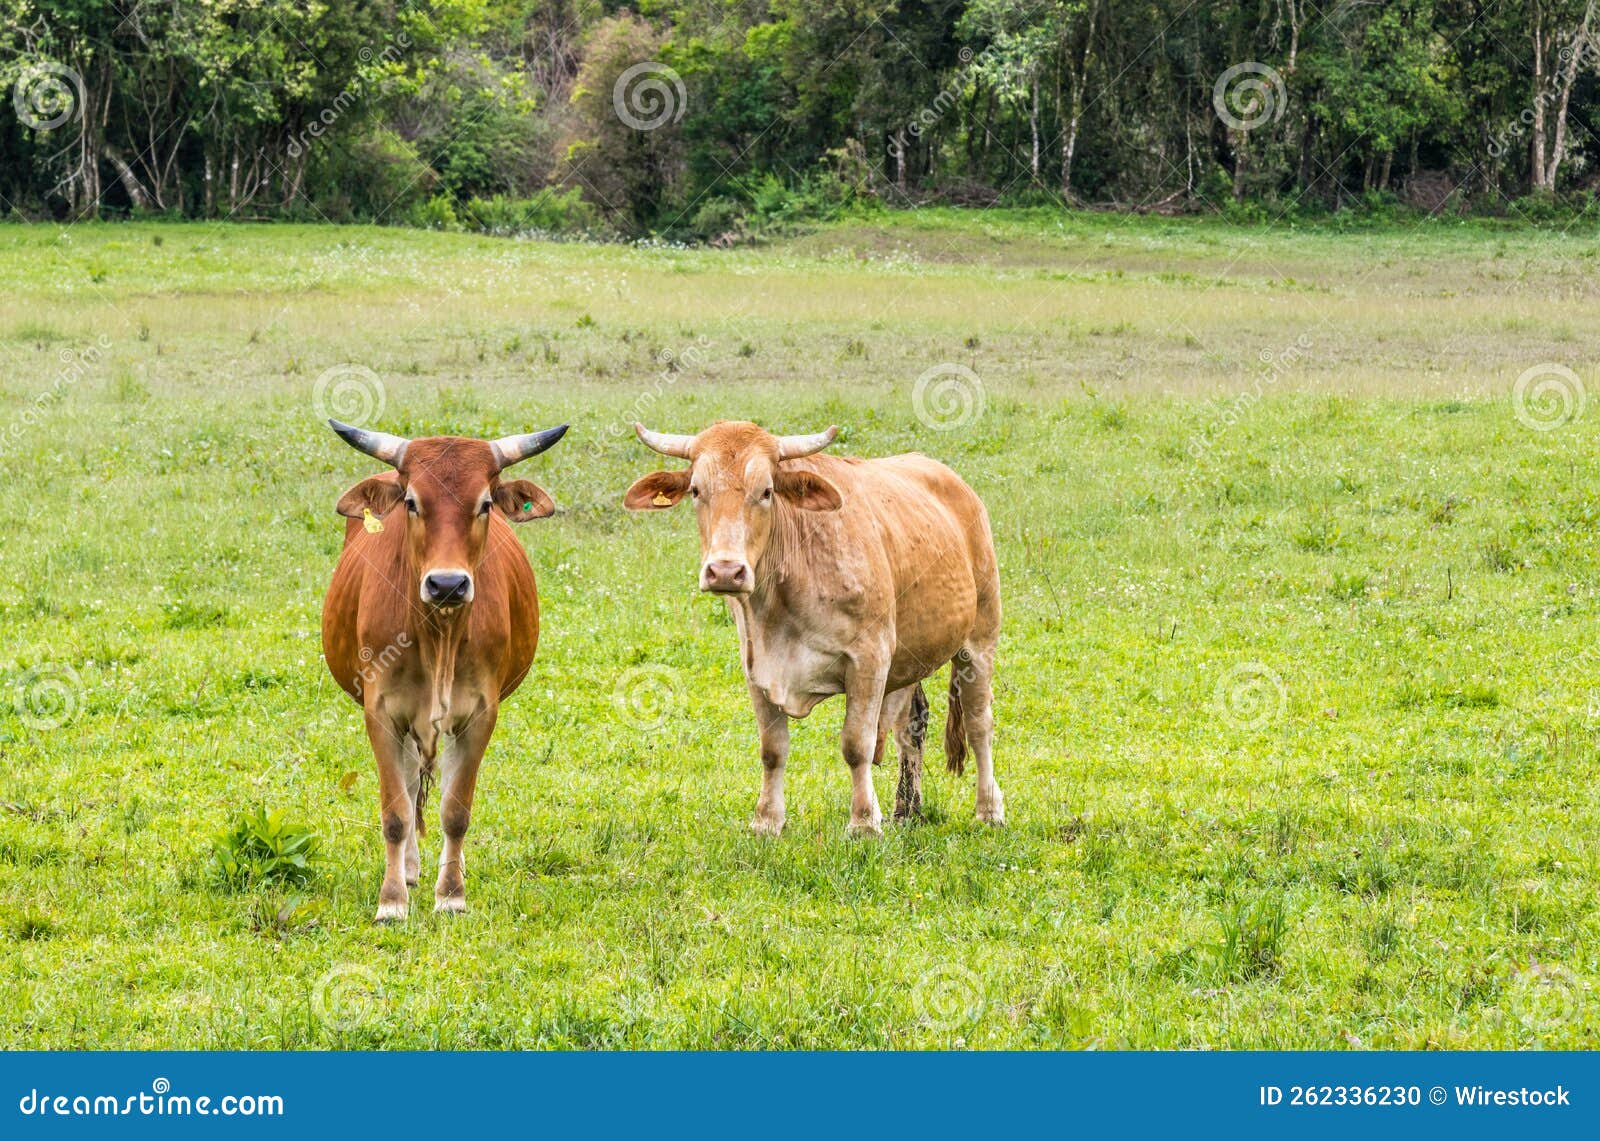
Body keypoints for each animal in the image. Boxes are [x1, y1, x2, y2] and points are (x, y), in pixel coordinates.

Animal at [321, 418, 567, 921]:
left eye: (486, 503)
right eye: (412, 502)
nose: (448, 583)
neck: (439, 636)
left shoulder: (479, 715)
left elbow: (456, 810)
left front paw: (451, 893)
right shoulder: (380, 712)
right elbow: (395, 813)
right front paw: (392, 900)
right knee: (410, 779)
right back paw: (410, 869)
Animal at [623, 420, 1003, 836]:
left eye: (766, 491)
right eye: (696, 490)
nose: (725, 571)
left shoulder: (869, 660)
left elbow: (856, 745)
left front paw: (864, 822)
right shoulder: (756, 666)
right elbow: (772, 749)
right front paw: (767, 821)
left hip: (979, 639)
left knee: (978, 723)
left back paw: (989, 809)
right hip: (912, 655)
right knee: (912, 724)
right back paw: (907, 810)